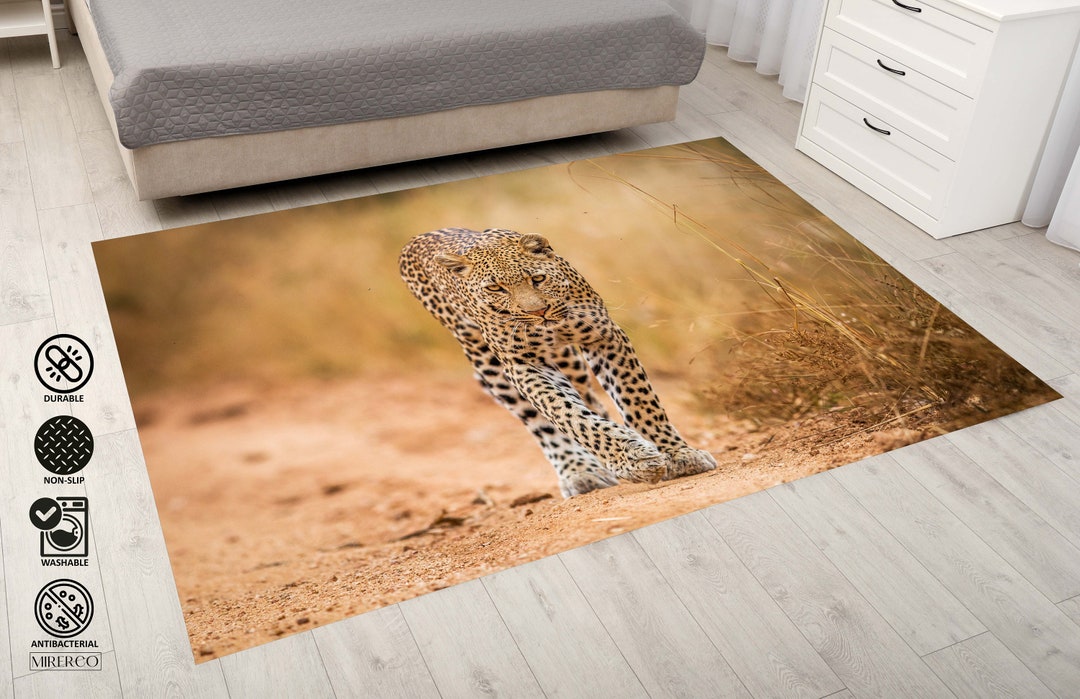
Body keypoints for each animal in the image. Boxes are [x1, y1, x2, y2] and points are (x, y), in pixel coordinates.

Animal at [399, 227, 717, 497]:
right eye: (496, 289)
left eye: (537, 279)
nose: (538, 312)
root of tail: (416, 238)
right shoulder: (522, 365)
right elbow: (566, 415)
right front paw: (633, 460)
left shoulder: (604, 336)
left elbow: (639, 400)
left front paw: (678, 455)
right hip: (490, 366)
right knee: (542, 424)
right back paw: (580, 472)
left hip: (569, 361)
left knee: (593, 402)